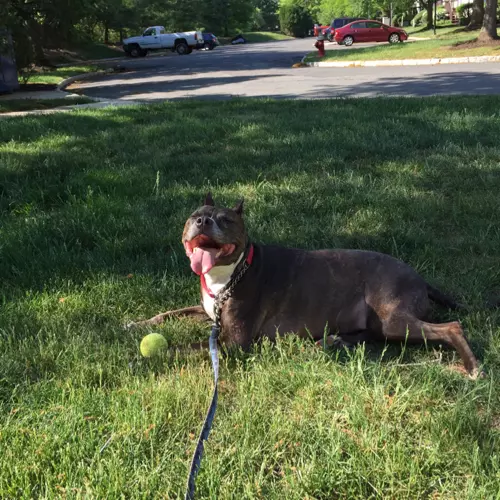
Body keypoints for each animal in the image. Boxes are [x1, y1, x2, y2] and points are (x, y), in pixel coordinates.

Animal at [129, 193, 480, 376]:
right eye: (194, 215)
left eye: (226, 220)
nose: (203, 221)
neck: (233, 271)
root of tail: (419, 276)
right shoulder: (208, 310)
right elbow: (171, 313)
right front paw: (137, 323)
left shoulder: (234, 342)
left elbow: (183, 347)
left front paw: (145, 355)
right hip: (379, 322)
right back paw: (332, 341)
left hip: (394, 319)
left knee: (451, 327)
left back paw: (473, 367)